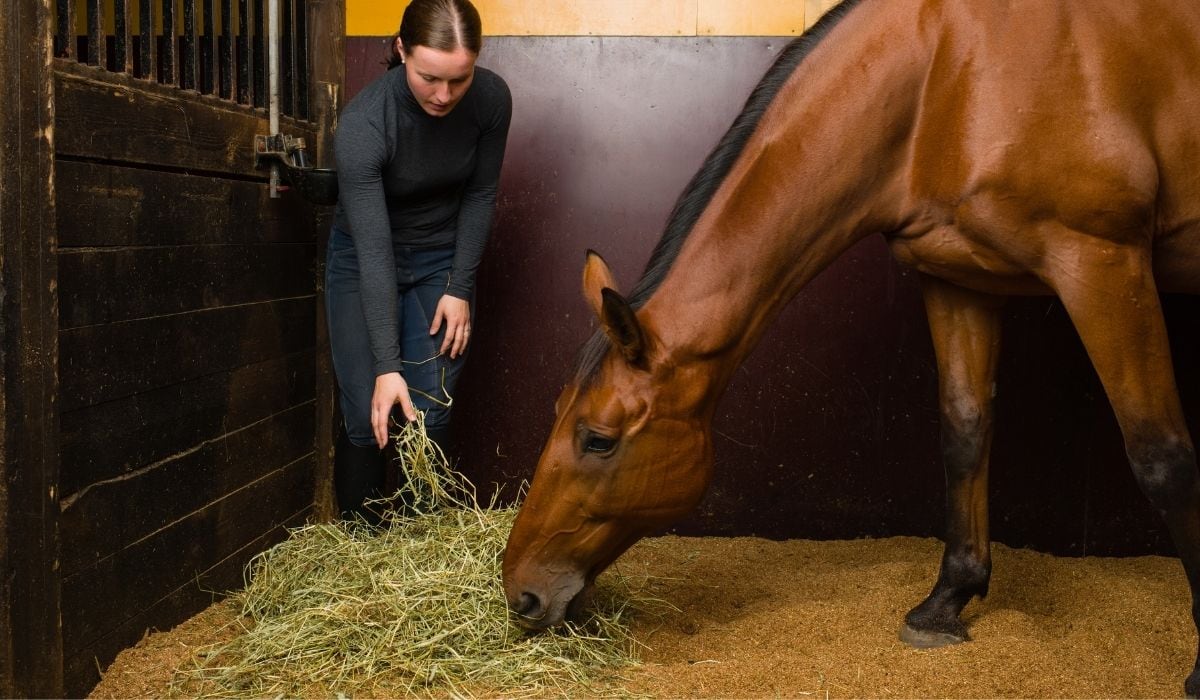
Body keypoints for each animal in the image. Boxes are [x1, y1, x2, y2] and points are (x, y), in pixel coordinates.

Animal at [501, 0, 1200, 692]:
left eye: (598, 440)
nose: (521, 593)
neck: (949, 76)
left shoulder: (1103, 263)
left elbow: (1162, 460)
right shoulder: (958, 279)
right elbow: (965, 431)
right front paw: (947, 601)